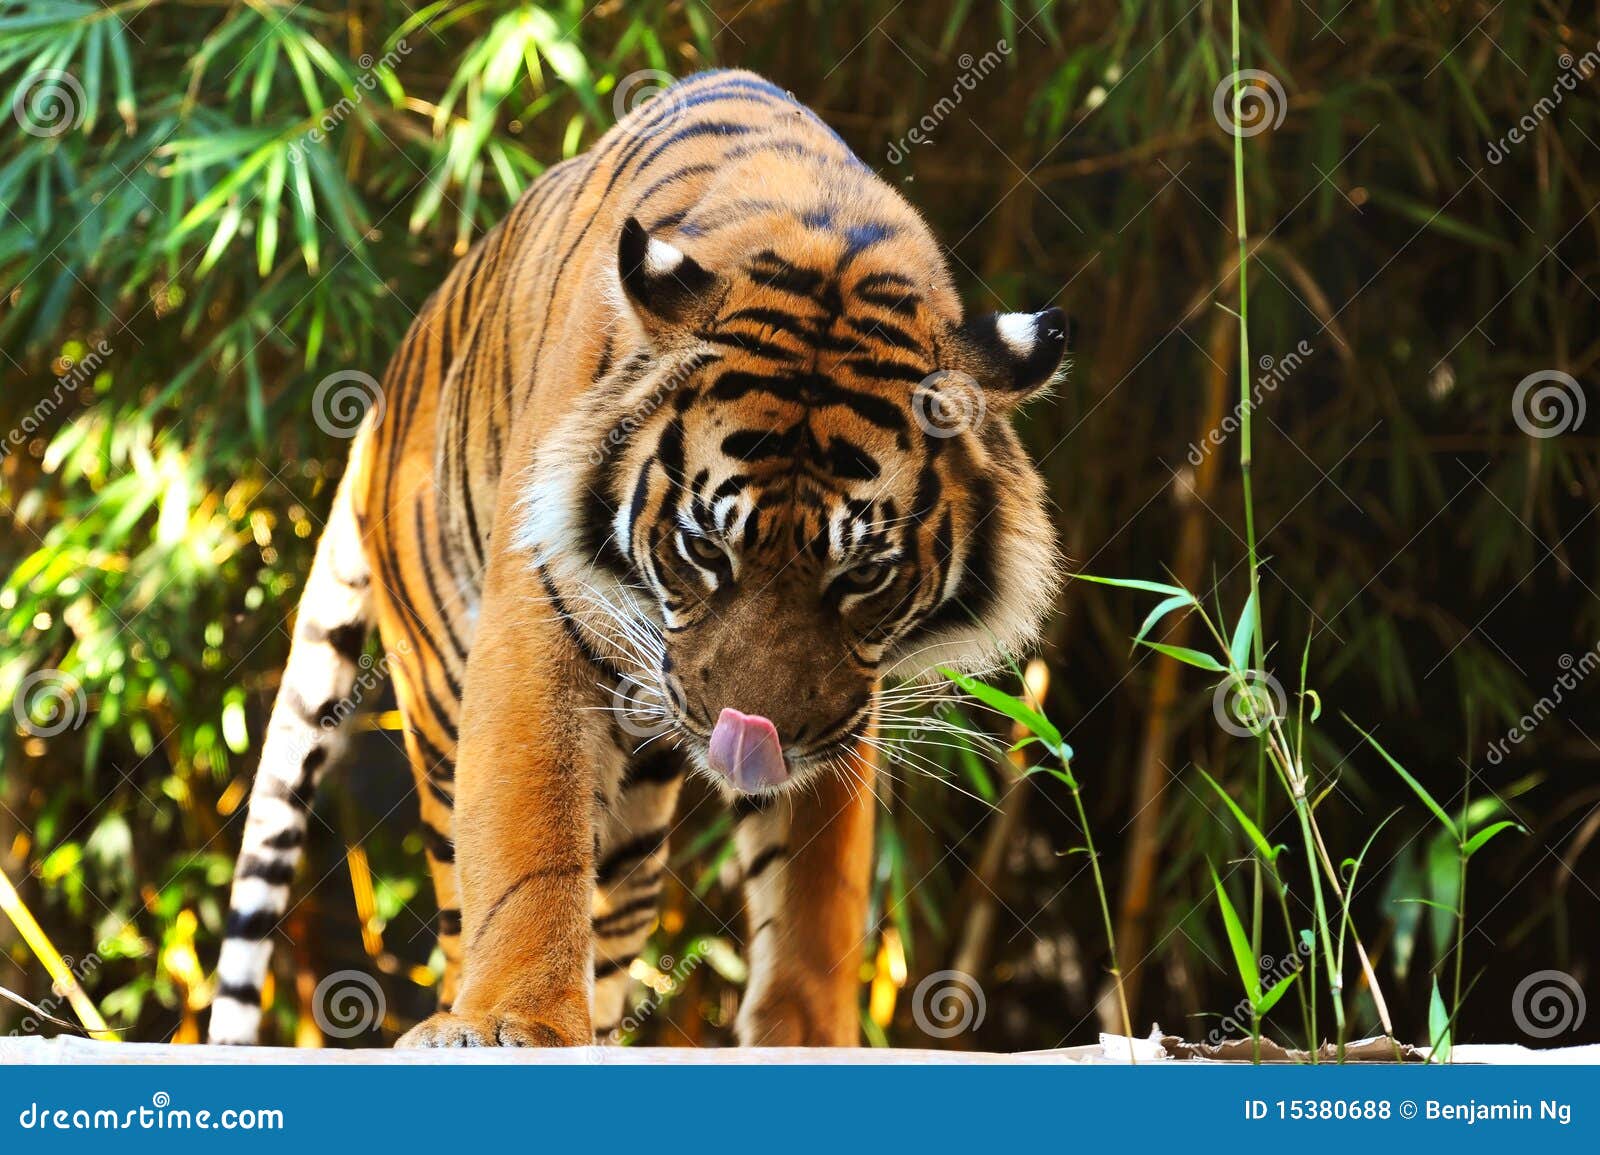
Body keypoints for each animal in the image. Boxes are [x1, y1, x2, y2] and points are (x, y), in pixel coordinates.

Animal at [207, 69, 1068, 1048]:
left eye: (863, 576)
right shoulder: (534, 619)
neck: (824, 231)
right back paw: (459, 1013)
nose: (752, 733)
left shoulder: (846, 702)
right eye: (703, 548)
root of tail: (380, 411)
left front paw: (807, 1039)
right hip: (438, 688)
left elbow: (816, 892)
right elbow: (529, 840)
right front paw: (512, 1019)